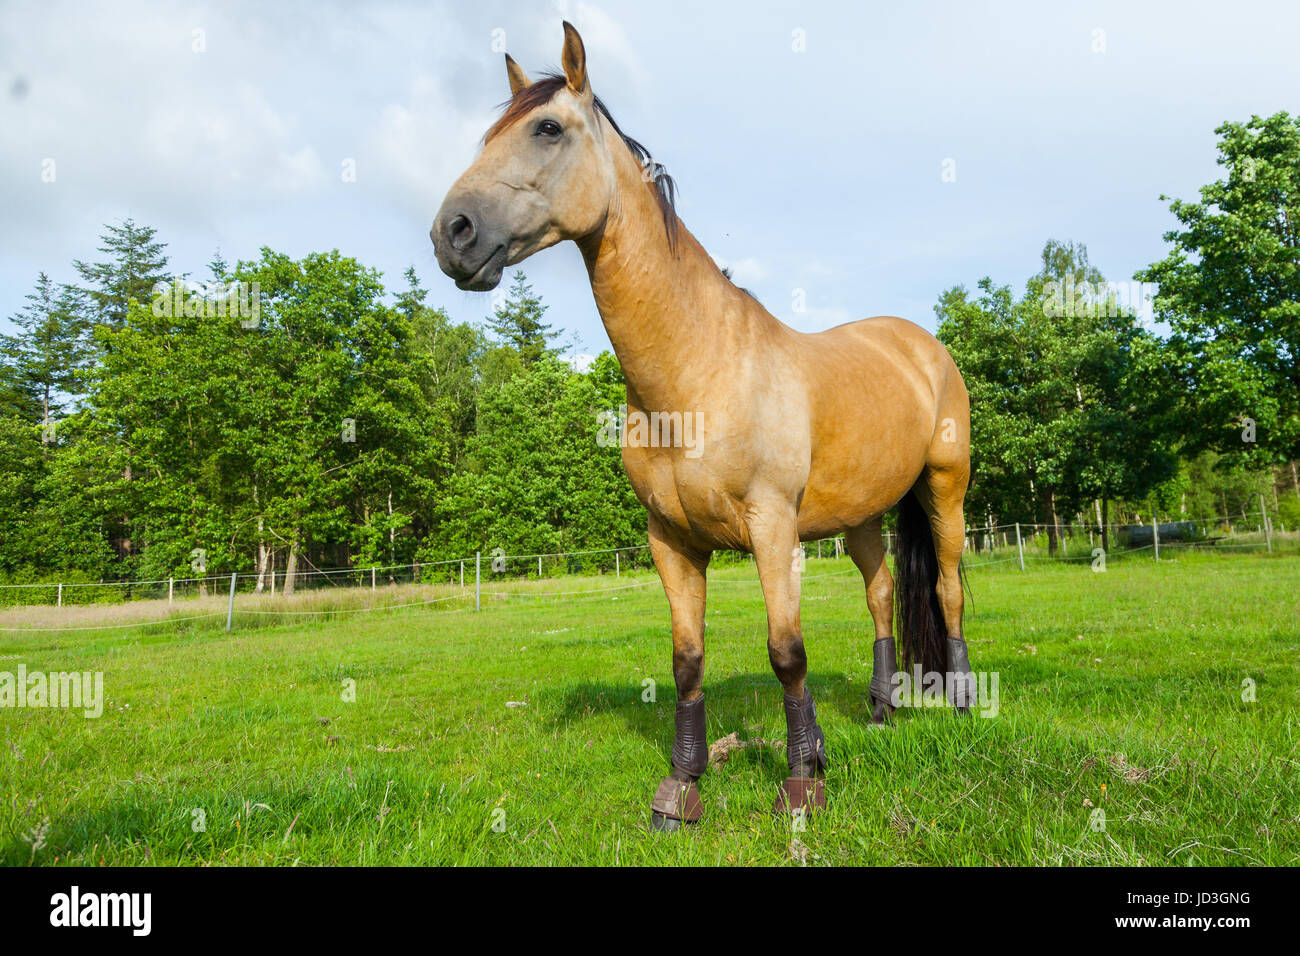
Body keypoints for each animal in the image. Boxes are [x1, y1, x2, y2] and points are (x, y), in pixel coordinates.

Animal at [432, 21, 975, 830]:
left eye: (547, 128)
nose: (452, 234)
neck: (698, 372)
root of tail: (921, 344)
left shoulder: (774, 530)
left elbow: (787, 652)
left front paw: (803, 778)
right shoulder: (672, 541)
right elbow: (686, 661)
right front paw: (680, 790)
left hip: (945, 491)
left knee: (945, 589)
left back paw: (965, 706)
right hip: (860, 516)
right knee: (881, 594)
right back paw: (881, 713)